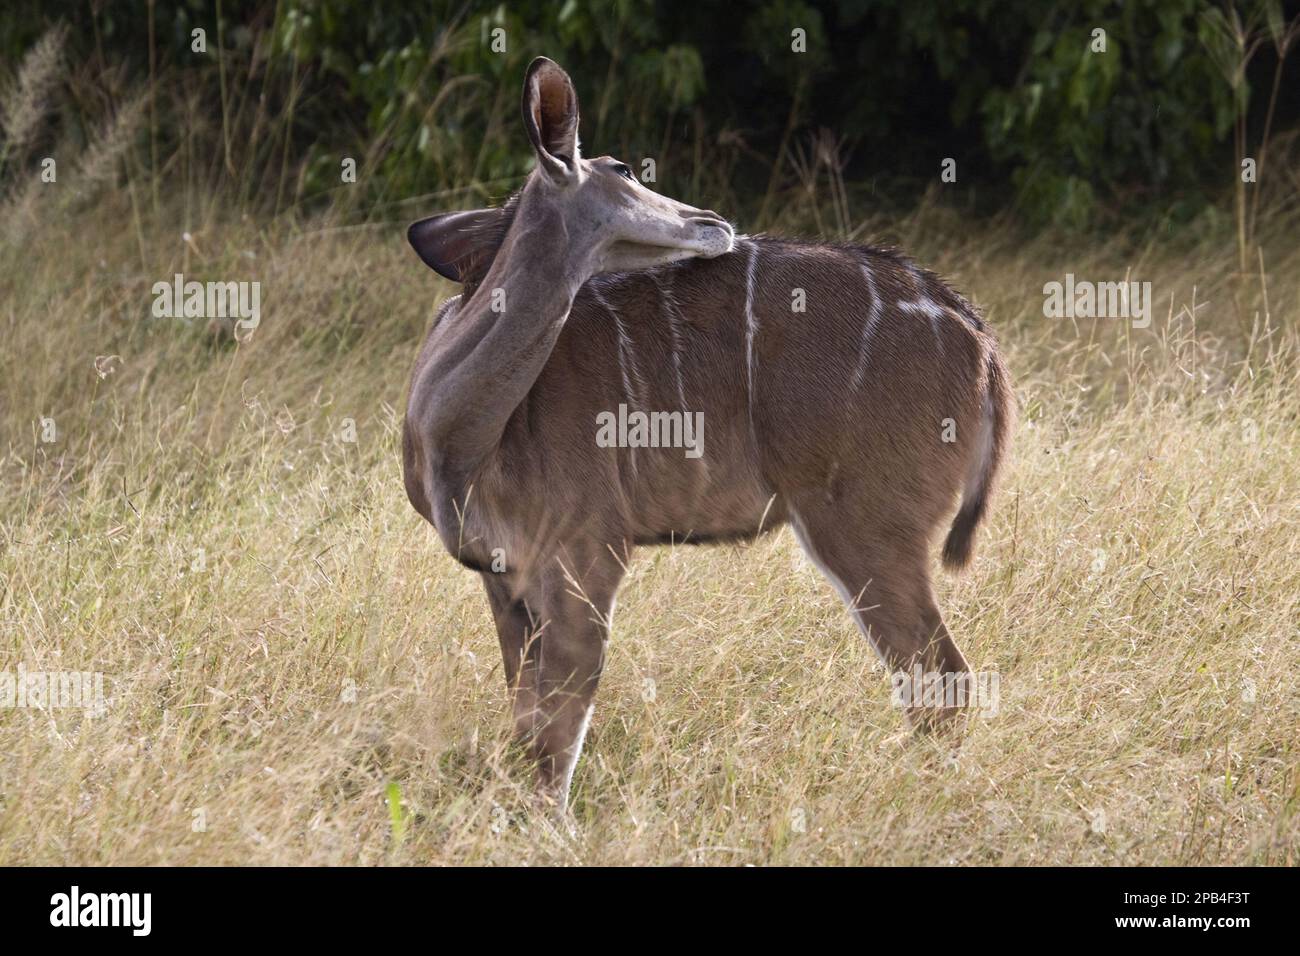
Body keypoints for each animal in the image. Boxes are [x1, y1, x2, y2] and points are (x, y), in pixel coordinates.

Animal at [403, 58, 1013, 810]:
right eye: (624, 167)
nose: (715, 221)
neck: (459, 438)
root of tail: (976, 337)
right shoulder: (502, 579)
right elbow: (527, 721)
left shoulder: (587, 557)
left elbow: (557, 736)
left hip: (866, 529)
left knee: (940, 676)